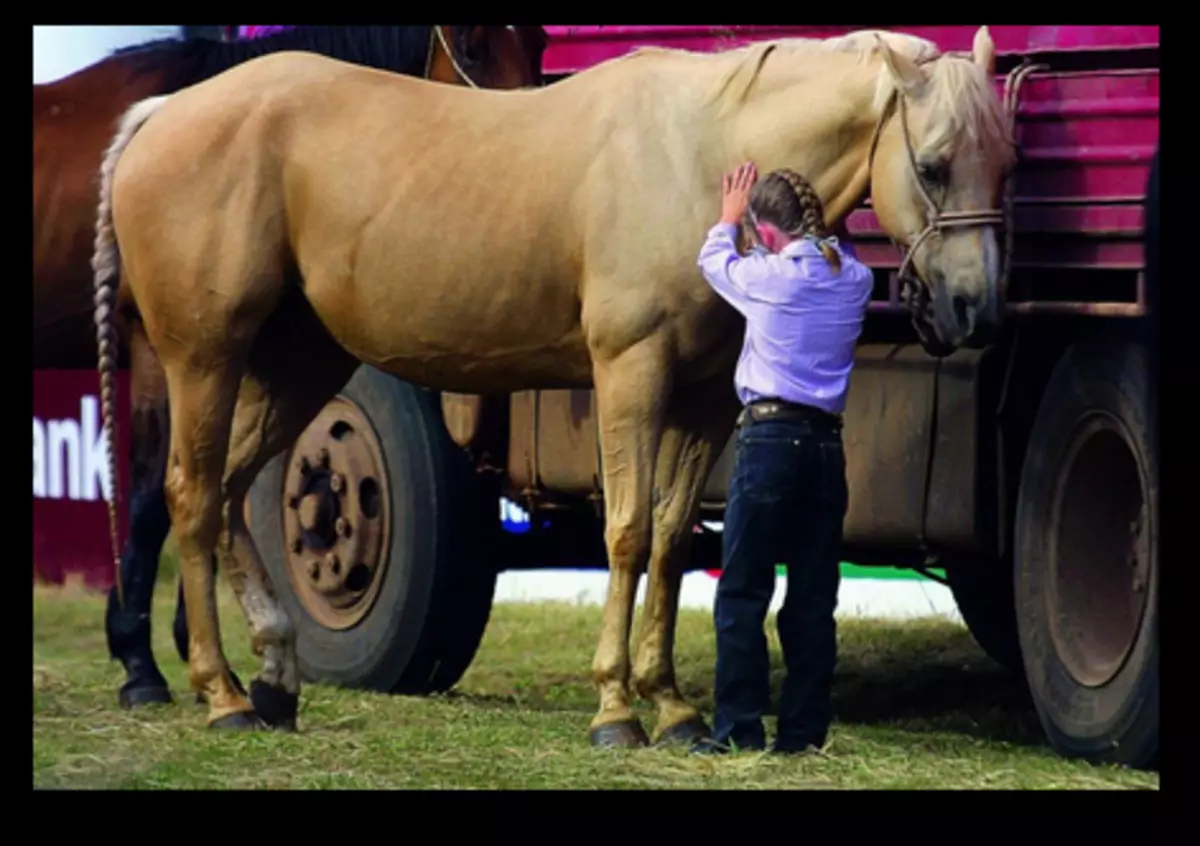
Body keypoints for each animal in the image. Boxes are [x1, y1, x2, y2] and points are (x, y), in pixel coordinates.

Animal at [34, 26, 549, 710]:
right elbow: (156, 496)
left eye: (539, 42)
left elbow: (214, 485)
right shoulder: (156, 352)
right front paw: (143, 664)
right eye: (469, 45)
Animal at [91, 26, 1012, 739]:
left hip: (298, 364)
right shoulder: (631, 372)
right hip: (205, 359)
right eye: (933, 165)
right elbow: (629, 533)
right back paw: (220, 696)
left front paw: (673, 707)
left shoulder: (706, 398)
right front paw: (617, 711)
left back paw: (275, 678)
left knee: (227, 491)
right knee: (190, 496)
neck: (699, 155)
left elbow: (672, 540)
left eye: (1003, 162)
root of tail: (162, 114)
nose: (976, 306)